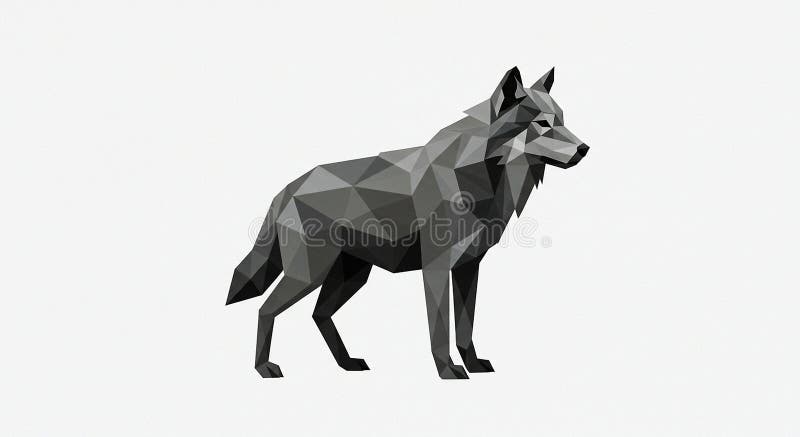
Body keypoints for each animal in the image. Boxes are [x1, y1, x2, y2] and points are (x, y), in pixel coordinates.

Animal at [227, 67, 589, 379]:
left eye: (562, 121)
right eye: (542, 124)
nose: (585, 149)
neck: (475, 177)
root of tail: (288, 188)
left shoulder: (468, 268)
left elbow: (465, 328)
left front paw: (472, 364)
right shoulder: (436, 268)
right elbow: (440, 330)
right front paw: (448, 370)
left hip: (350, 277)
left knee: (318, 314)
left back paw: (347, 363)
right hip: (308, 275)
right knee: (264, 310)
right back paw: (264, 368)